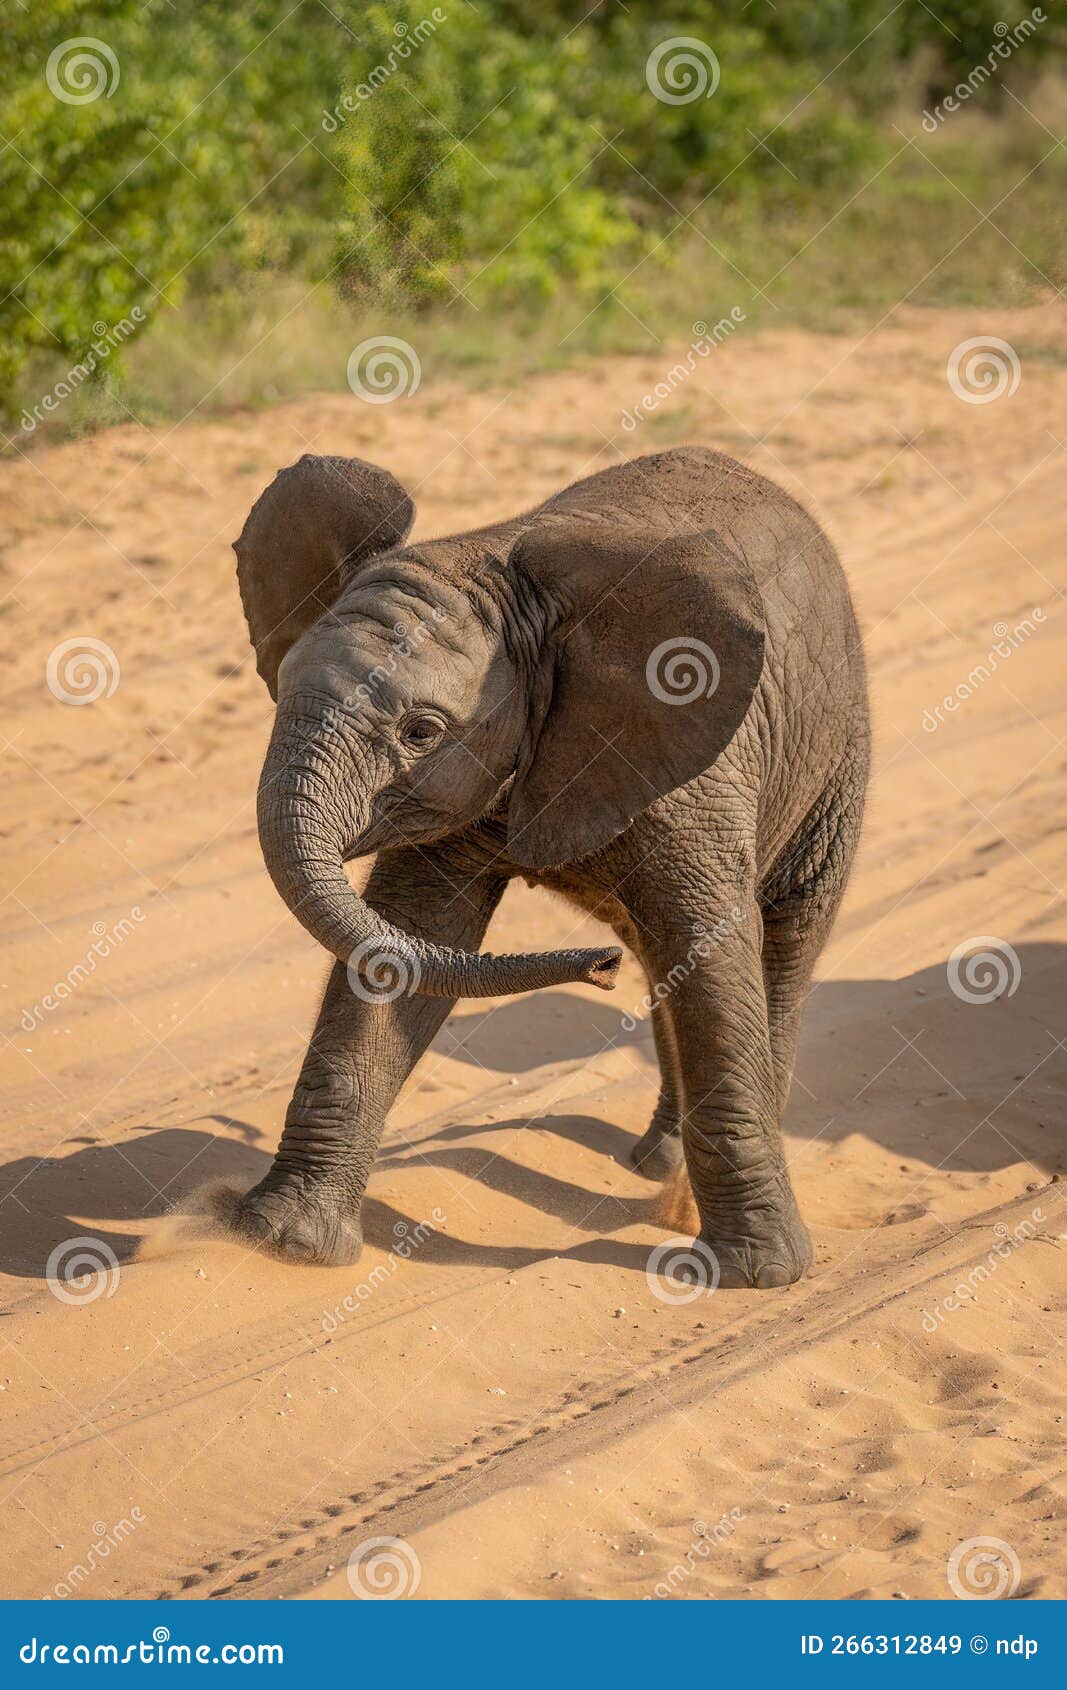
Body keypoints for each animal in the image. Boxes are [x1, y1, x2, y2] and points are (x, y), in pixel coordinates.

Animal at [229, 444, 869, 1288]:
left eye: (421, 731)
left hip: (835, 747)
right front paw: (281, 1243)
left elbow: (711, 948)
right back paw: (655, 1160)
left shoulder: (695, 767)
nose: (595, 967)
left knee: (785, 939)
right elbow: (406, 938)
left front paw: (756, 1276)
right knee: (661, 956)